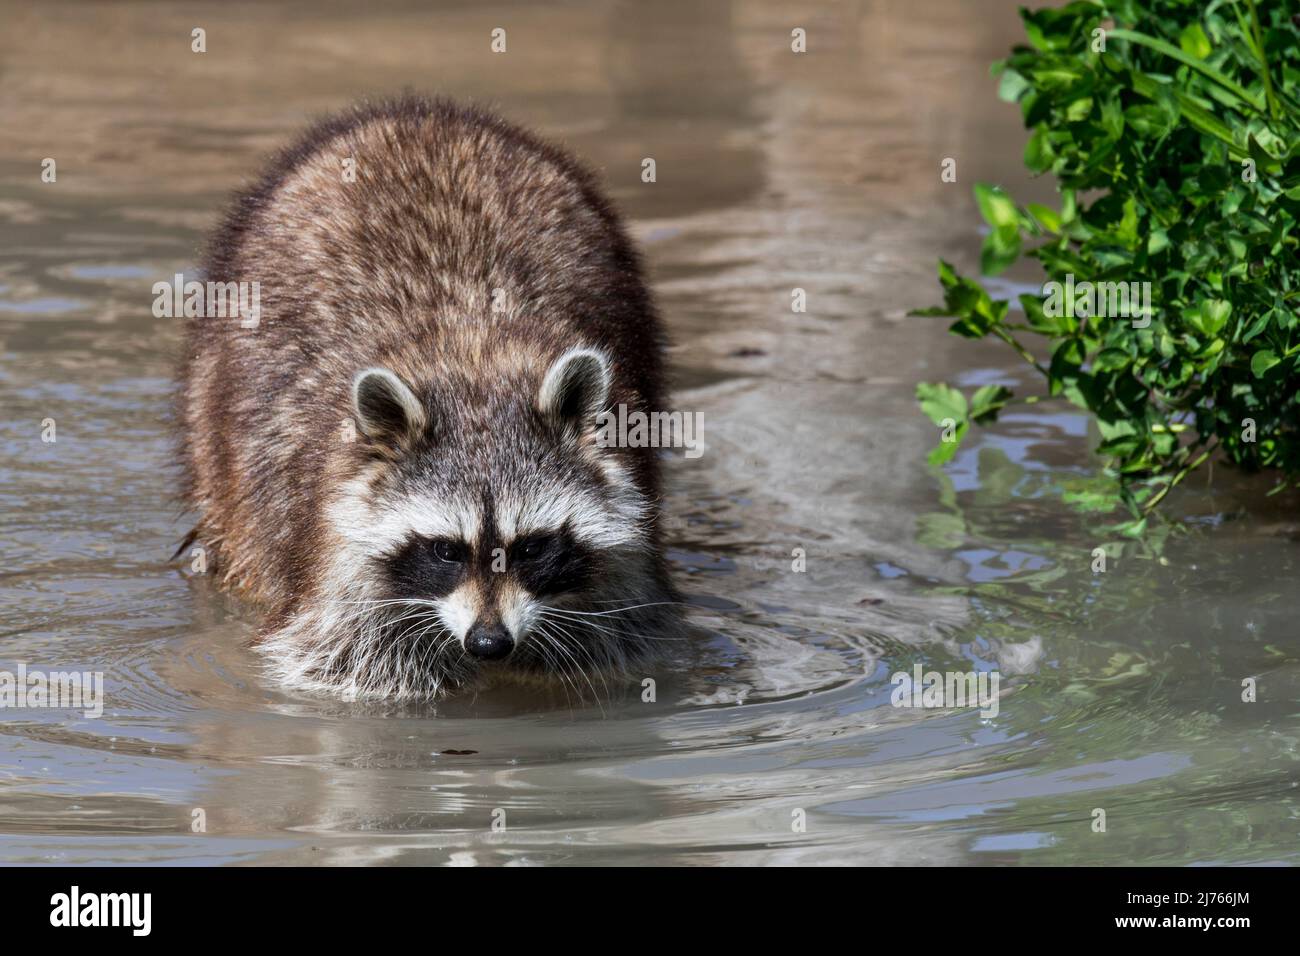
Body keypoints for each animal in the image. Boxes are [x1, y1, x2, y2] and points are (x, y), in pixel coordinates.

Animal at [177, 96, 683, 700]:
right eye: (446, 550)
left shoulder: (627, 539)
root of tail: (416, 112)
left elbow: (620, 626)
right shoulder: (336, 541)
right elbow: (344, 655)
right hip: (214, 403)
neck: (472, 362)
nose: (489, 643)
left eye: (531, 547)